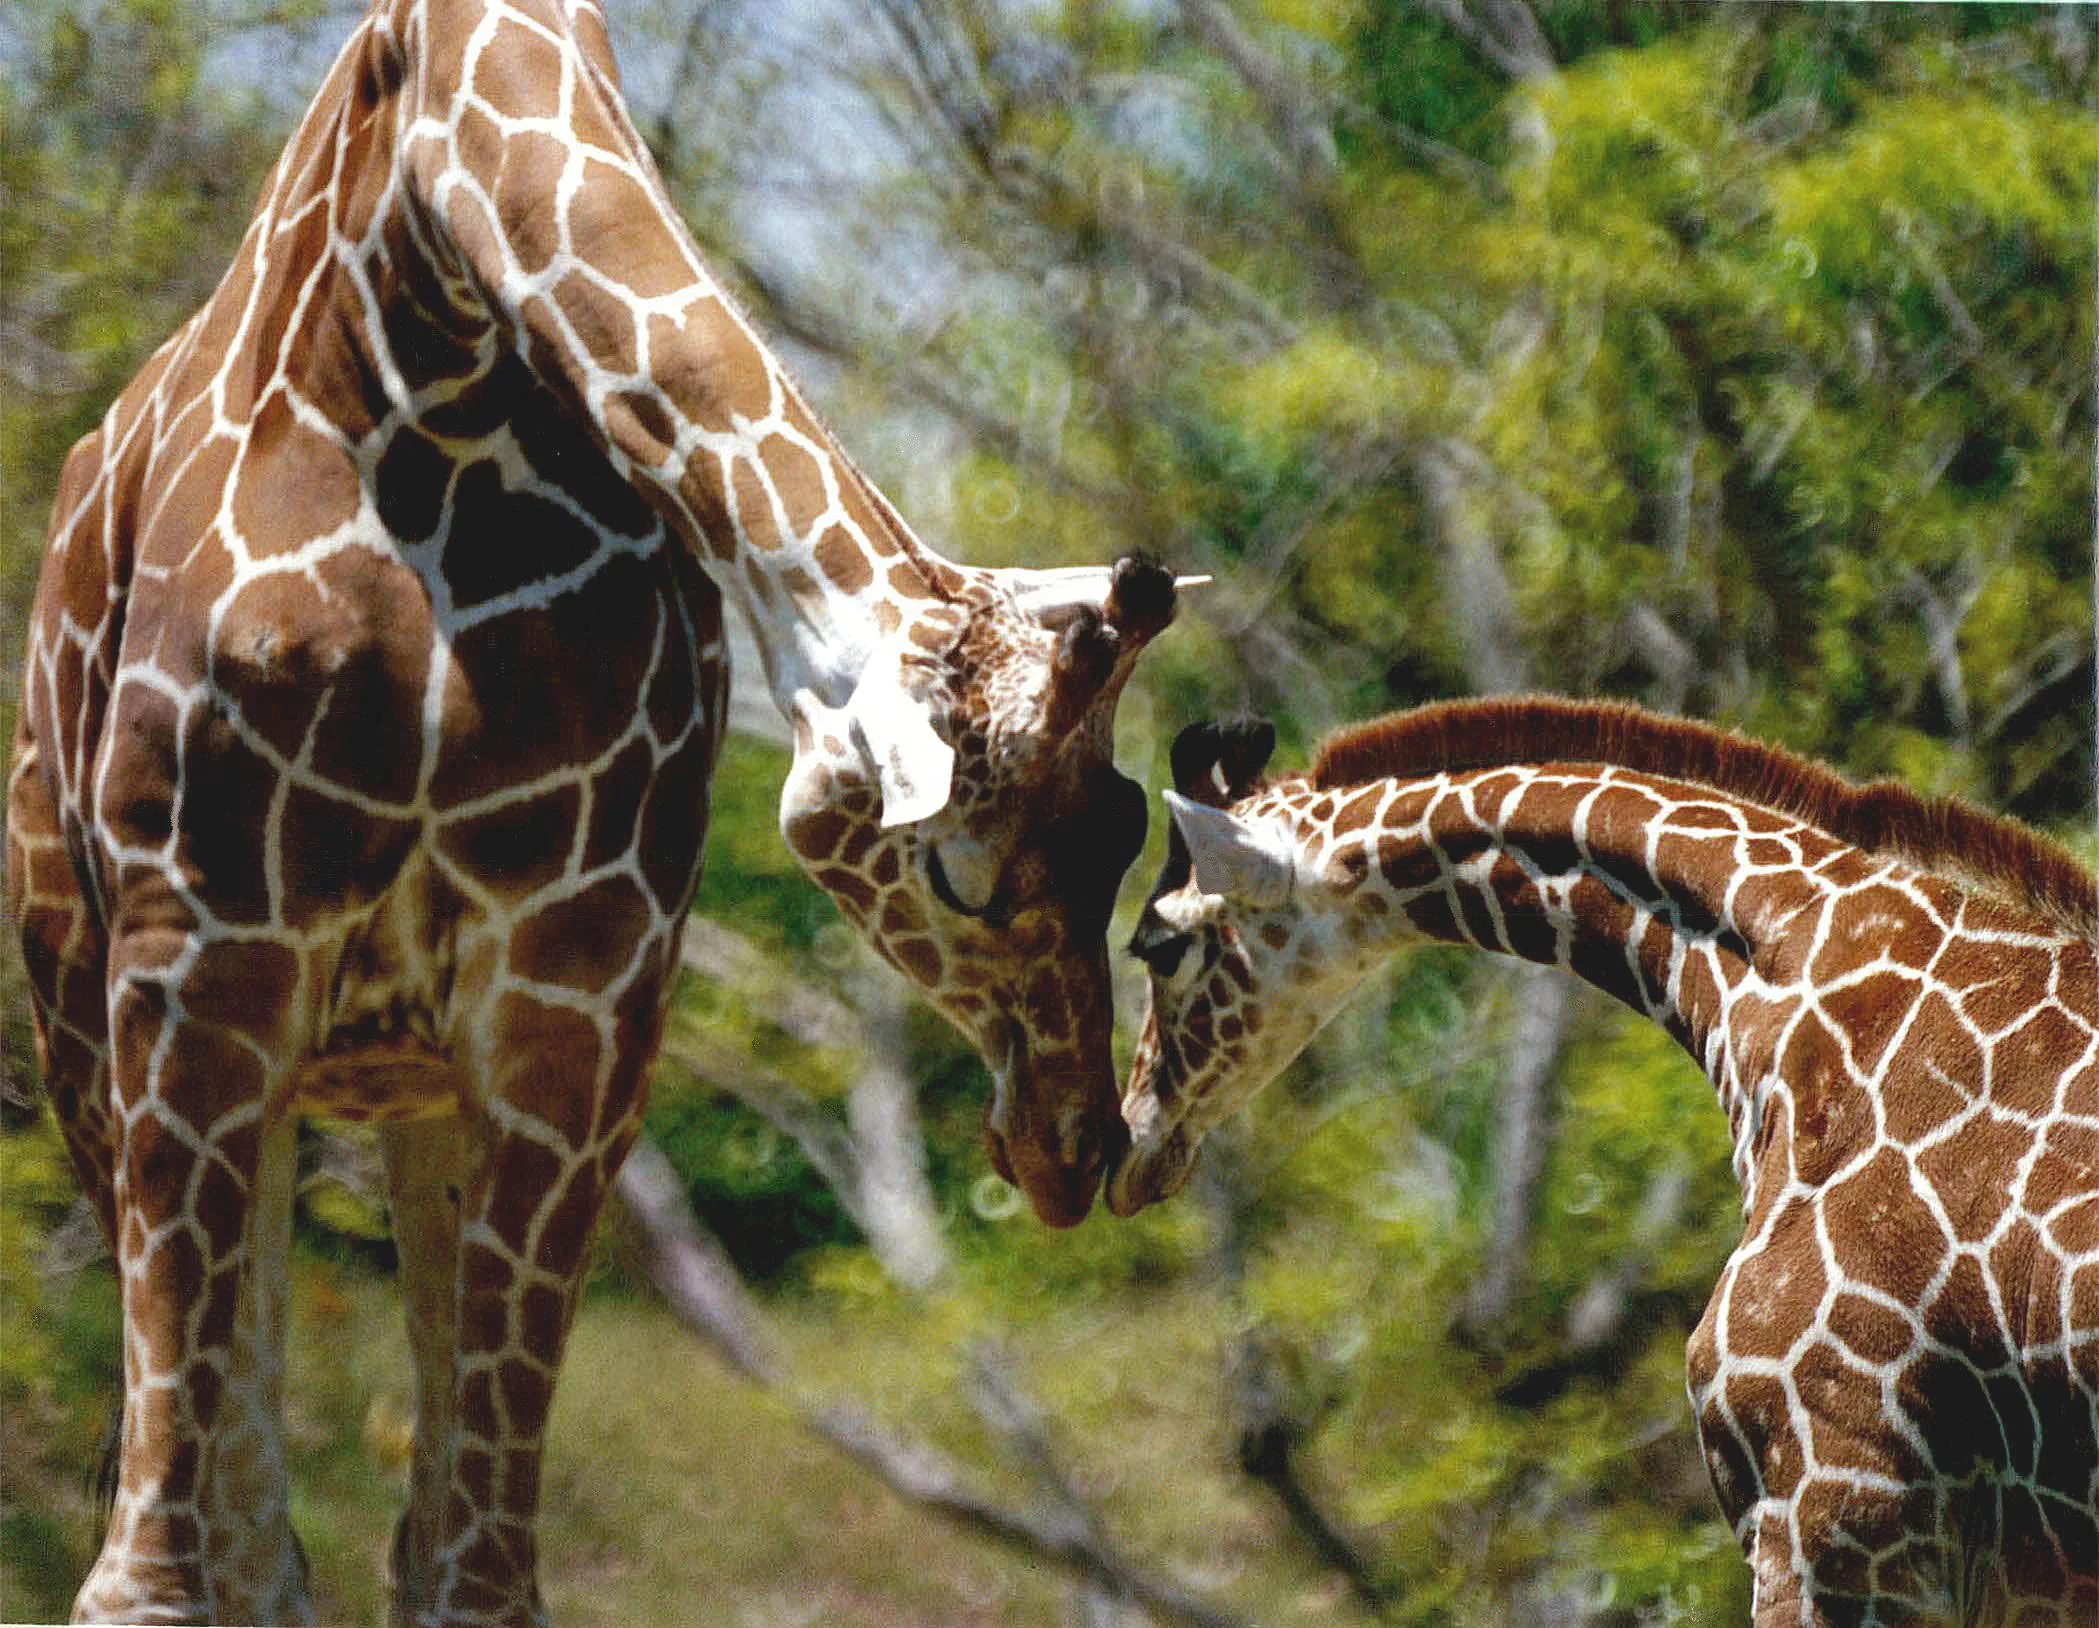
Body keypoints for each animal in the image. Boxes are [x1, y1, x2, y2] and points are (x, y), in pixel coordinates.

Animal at [4, 0, 1189, 1620]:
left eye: (1125, 834)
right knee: (238, 1521)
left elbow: (475, 1568)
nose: (1076, 1143)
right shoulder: (198, 951)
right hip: (86, 1012)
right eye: (955, 873)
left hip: (402, 1086)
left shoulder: (581, 989)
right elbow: (154, 1578)